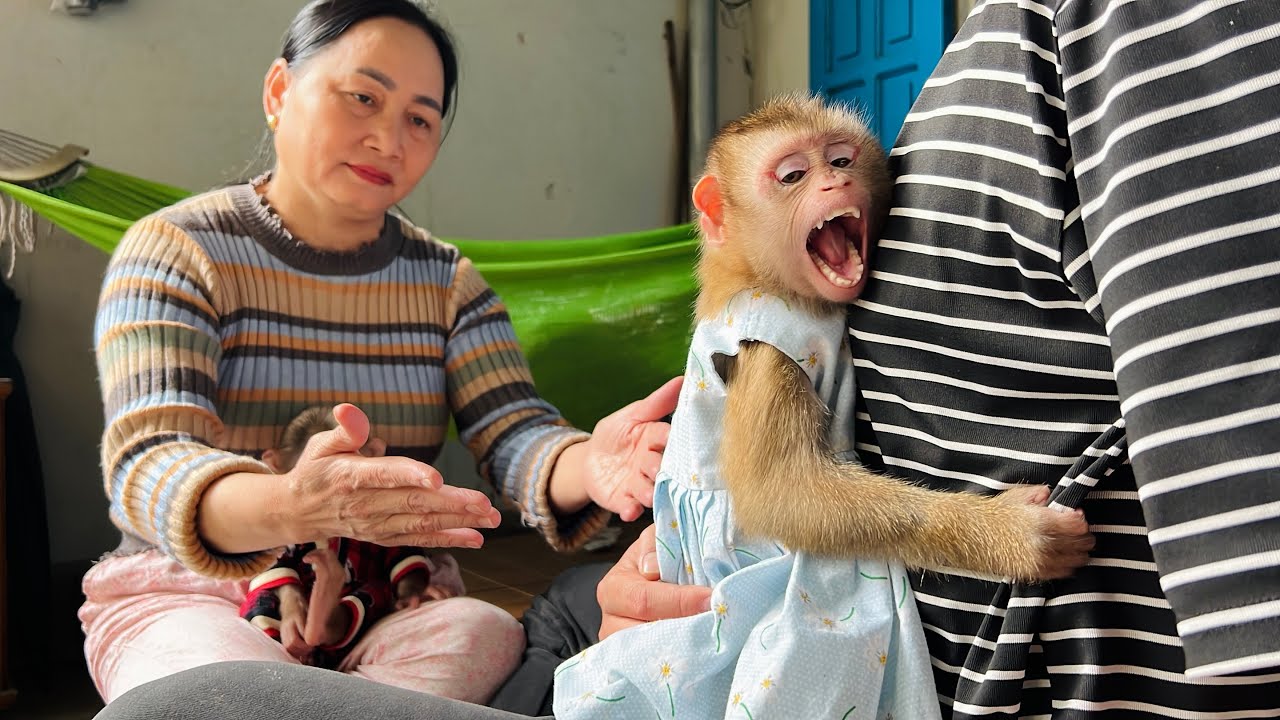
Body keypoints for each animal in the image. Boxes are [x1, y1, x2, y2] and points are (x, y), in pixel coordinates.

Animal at [239, 407, 464, 667]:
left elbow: (401, 554)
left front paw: (416, 594)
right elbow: (276, 563)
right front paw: (293, 617)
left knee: (367, 598)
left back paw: (325, 611)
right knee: (261, 607)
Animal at [551, 93, 1094, 720]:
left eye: (839, 158)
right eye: (793, 175)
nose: (836, 181)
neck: (758, 279)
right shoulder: (768, 354)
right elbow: (779, 492)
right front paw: (1012, 537)